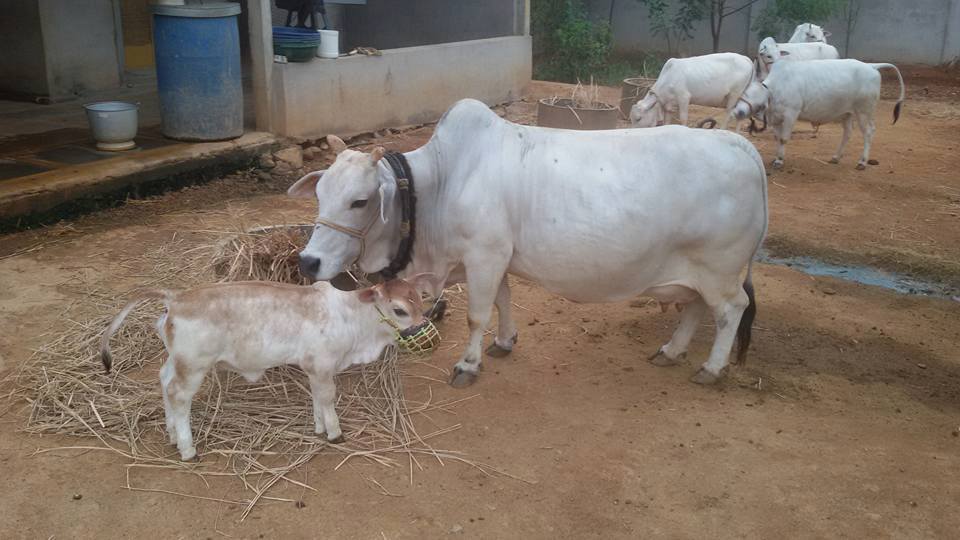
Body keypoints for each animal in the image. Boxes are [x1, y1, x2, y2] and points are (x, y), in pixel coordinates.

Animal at [100, 276, 433, 461]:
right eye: (399, 310)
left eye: (421, 300)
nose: (422, 328)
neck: (352, 318)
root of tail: (177, 297)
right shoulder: (323, 366)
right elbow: (327, 399)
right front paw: (335, 433)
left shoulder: (314, 369)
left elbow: (316, 399)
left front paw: (319, 428)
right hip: (194, 367)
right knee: (178, 397)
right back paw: (187, 449)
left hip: (177, 362)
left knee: (164, 381)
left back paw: (171, 435)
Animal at [289, 99, 769, 389]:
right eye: (320, 194)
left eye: (360, 200)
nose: (308, 262)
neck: (439, 185)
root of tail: (739, 144)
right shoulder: (497, 259)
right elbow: (503, 302)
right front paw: (504, 342)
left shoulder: (483, 256)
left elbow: (477, 315)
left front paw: (468, 364)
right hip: (697, 270)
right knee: (696, 308)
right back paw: (671, 351)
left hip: (720, 268)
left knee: (730, 311)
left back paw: (710, 368)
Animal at [733, 59, 905, 170]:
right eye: (744, 92)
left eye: (758, 100)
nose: (738, 112)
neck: (776, 89)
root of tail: (871, 66)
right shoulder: (776, 119)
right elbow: (777, 138)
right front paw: (777, 157)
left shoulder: (791, 114)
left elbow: (783, 138)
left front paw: (779, 161)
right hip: (847, 113)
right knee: (847, 133)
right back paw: (836, 157)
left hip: (864, 111)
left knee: (868, 132)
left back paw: (862, 162)